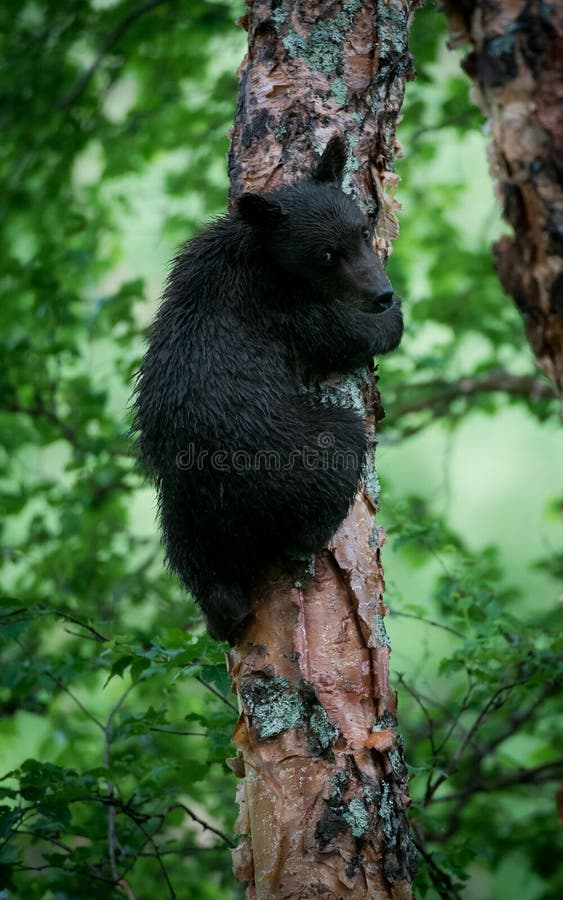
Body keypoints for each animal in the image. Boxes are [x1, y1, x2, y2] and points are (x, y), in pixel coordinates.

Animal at [132, 136, 403, 644]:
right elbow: (342, 334)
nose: (381, 294)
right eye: (325, 254)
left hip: (178, 510)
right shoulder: (282, 304)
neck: (259, 252)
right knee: (336, 453)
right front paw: (389, 321)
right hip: (291, 451)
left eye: (361, 230)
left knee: (196, 565)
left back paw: (223, 612)